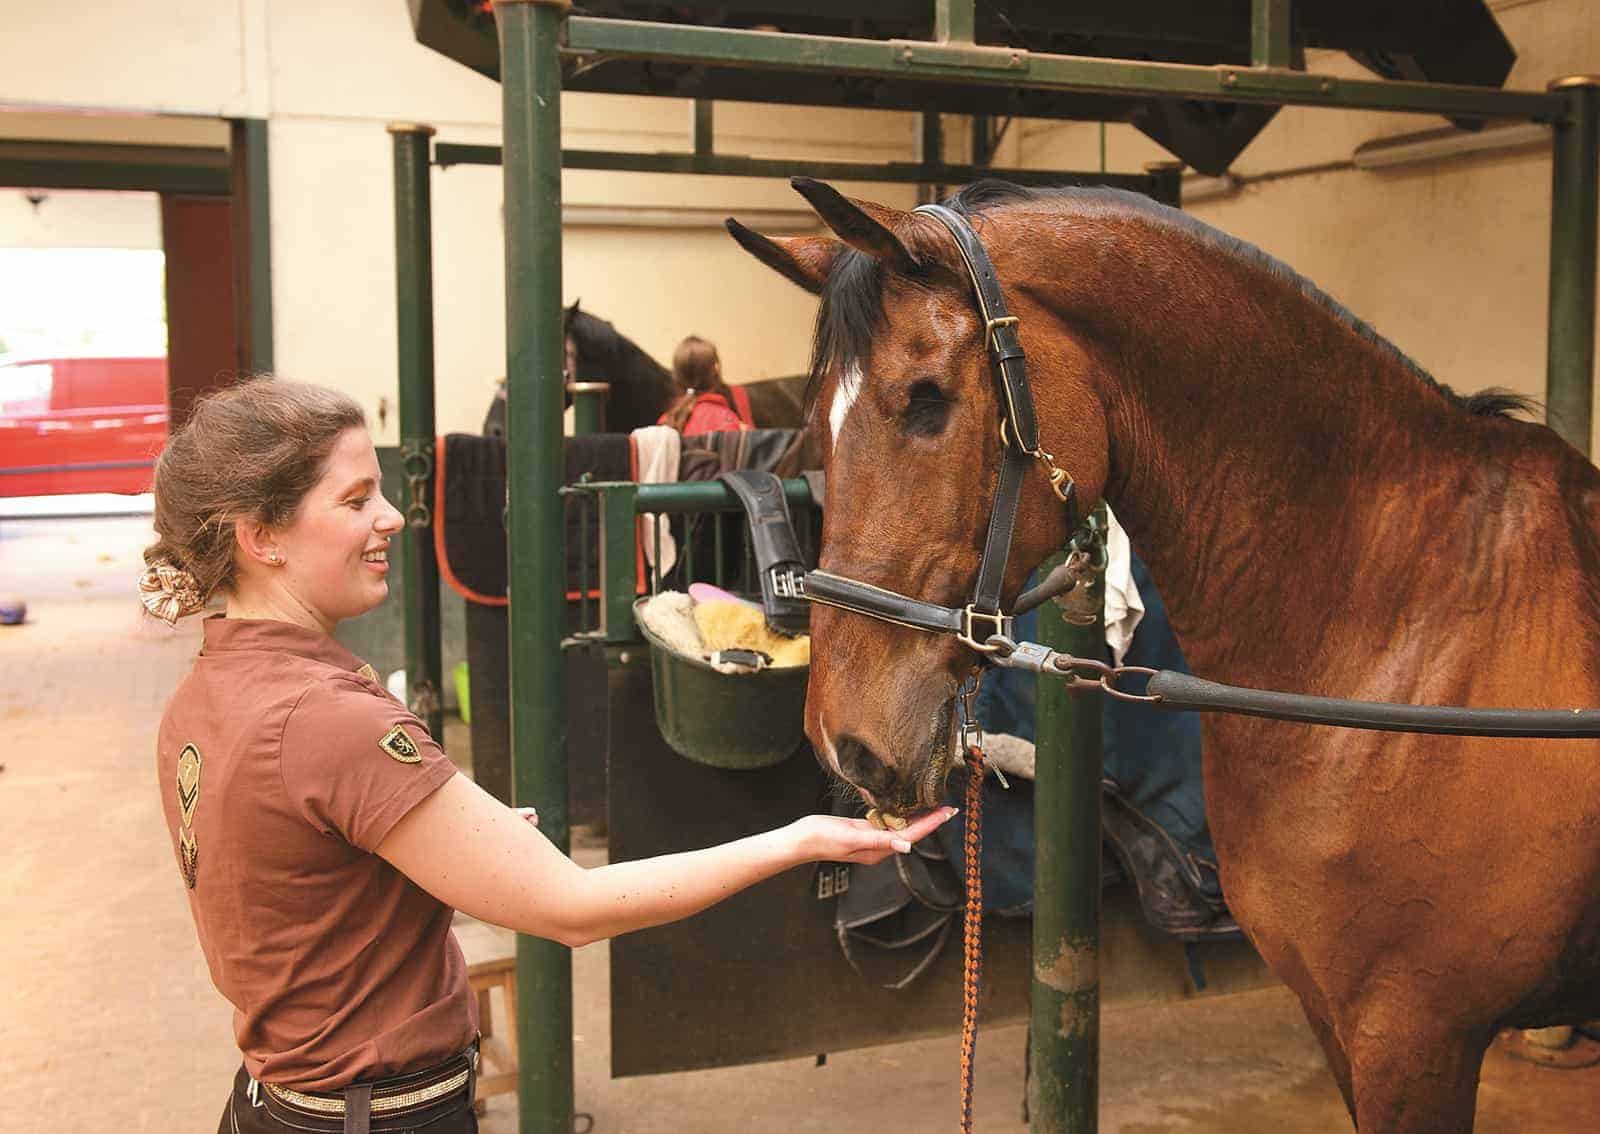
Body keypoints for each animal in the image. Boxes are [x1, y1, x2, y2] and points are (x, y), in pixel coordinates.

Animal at [728, 177, 1600, 1132]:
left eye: (927, 400)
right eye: (815, 424)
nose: (846, 744)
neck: (1401, 615)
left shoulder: (1413, 1038)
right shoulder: (1340, 1022)